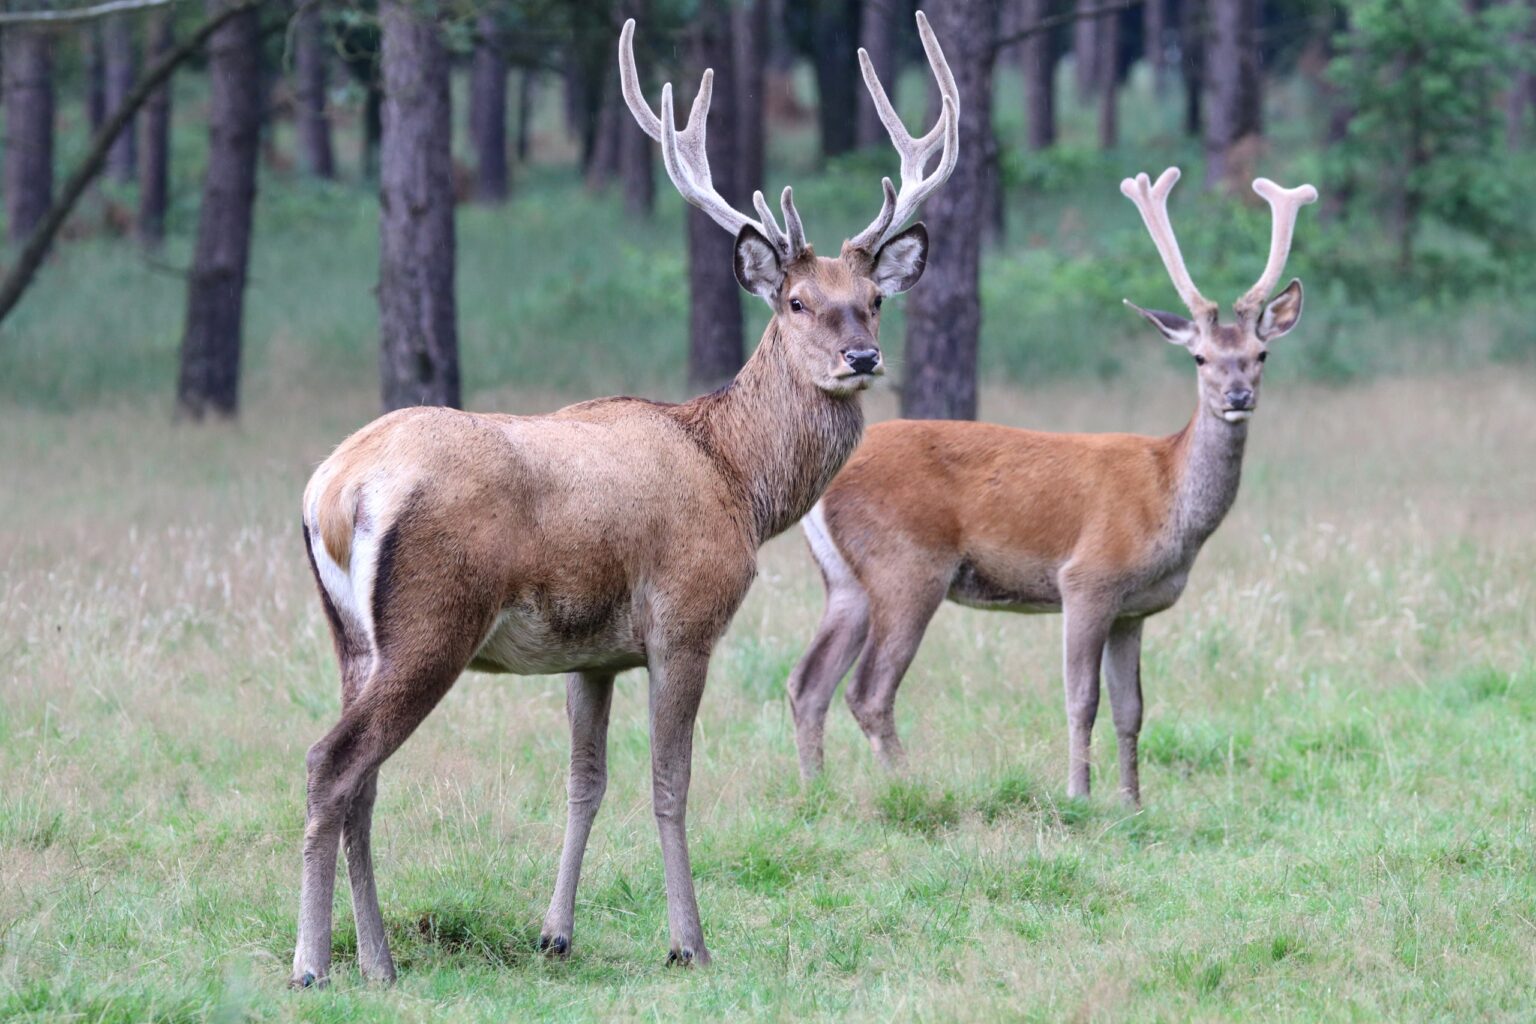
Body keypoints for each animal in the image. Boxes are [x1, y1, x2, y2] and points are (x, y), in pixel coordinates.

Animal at [286, 12, 958, 987]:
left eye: (872, 299)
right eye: (797, 301)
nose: (862, 358)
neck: (736, 479)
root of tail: (335, 491)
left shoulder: (593, 654)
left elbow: (584, 782)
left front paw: (555, 933)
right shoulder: (684, 617)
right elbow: (670, 783)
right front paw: (690, 941)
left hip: (352, 638)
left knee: (362, 778)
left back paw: (378, 960)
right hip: (431, 620)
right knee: (331, 761)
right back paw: (311, 961)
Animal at [785, 167, 1316, 806]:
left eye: (1261, 354)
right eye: (1199, 358)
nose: (1238, 396)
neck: (1168, 501)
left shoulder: (1135, 609)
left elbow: (1132, 709)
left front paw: (1133, 803)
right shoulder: (1088, 579)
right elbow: (1081, 699)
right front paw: (1079, 795)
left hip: (846, 582)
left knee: (808, 680)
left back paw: (816, 791)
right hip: (906, 565)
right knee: (867, 690)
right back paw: (909, 787)